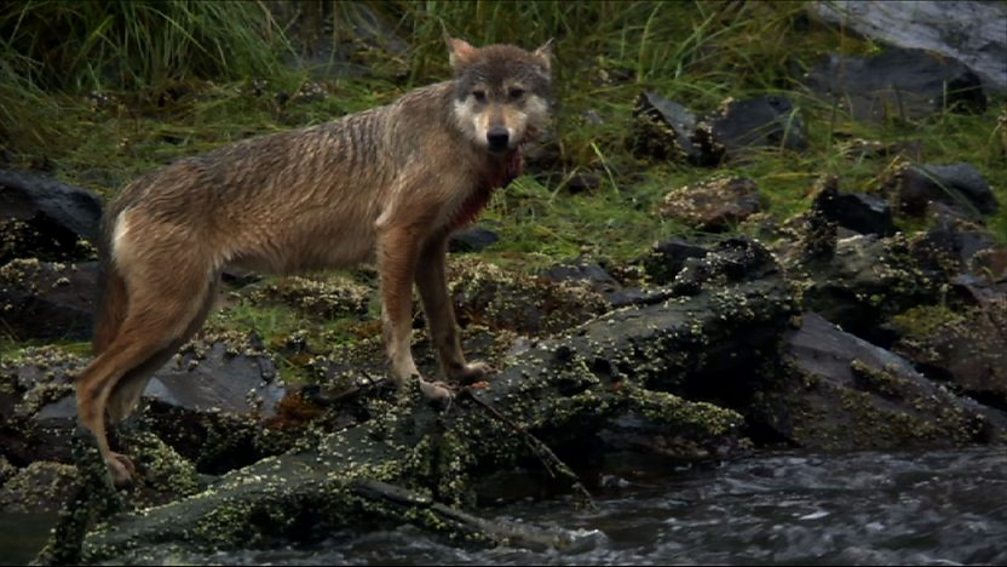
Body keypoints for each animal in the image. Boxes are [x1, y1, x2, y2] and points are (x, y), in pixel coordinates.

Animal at [74, 37, 554, 487]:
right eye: (479, 95)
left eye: (515, 94)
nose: (498, 136)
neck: (453, 133)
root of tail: (134, 187)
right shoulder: (397, 235)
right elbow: (398, 325)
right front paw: (417, 388)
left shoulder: (432, 246)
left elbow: (444, 326)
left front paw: (462, 374)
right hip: (170, 318)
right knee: (89, 382)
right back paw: (111, 467)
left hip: (182, 322)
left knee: (120, 397)